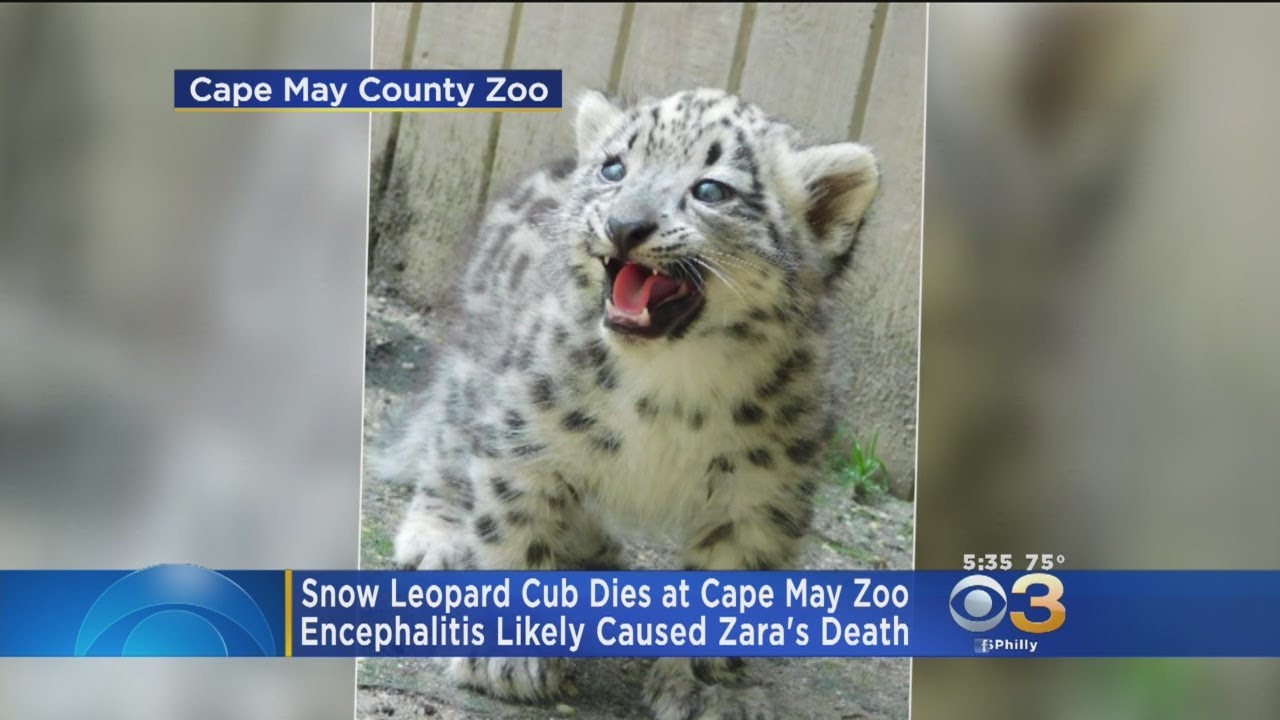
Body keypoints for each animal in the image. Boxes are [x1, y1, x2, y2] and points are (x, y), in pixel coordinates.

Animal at [377, 87, 880, 720]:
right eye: (615, 168)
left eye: (711, 189)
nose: (624, 224)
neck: (673, 388)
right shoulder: (526, 436)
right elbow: (514, 525)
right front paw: (507, 663)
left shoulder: (759, 491)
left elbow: (728, 586)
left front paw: (705, 688)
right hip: (476, 367)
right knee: (448, 443)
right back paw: (436, 537)